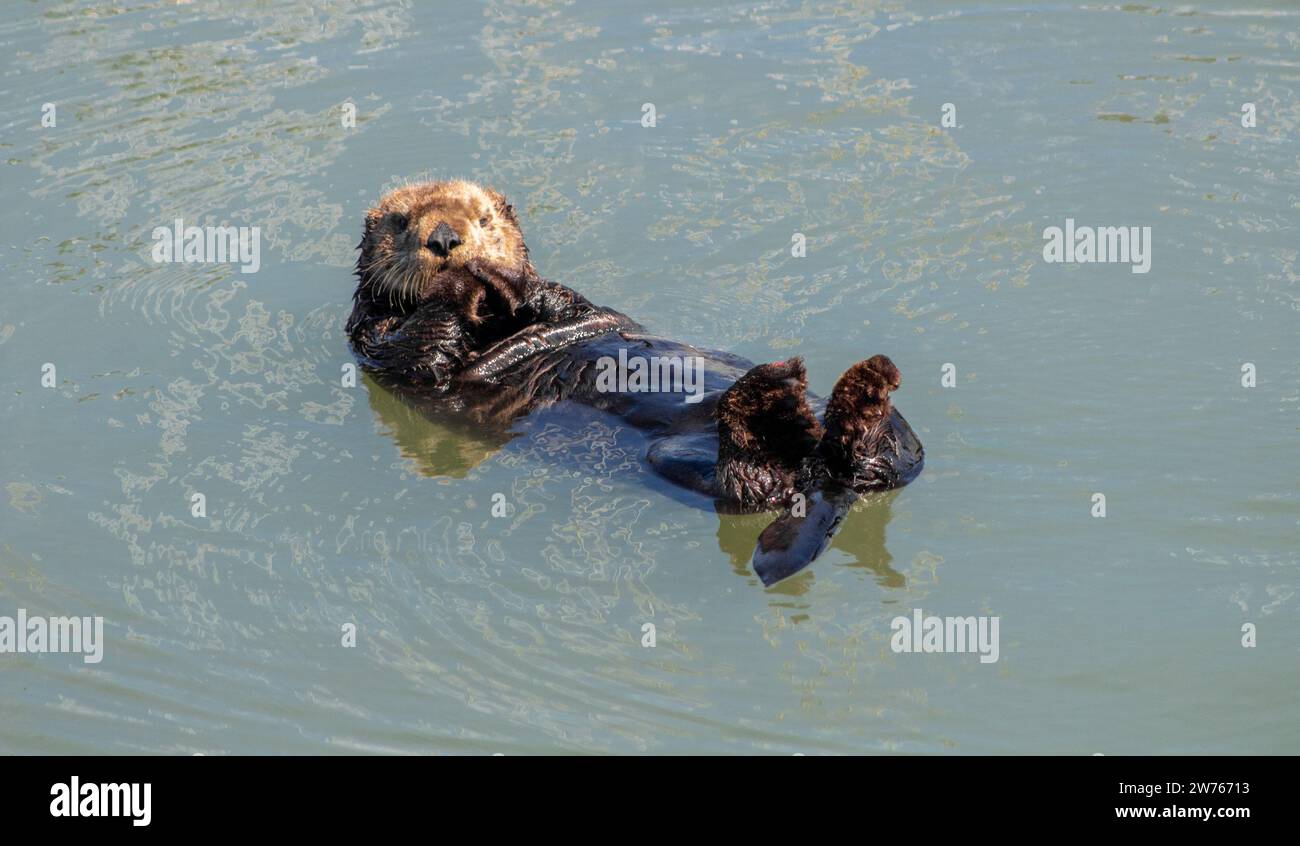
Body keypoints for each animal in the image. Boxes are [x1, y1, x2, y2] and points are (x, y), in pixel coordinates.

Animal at [347, 180, 923, 584]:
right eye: (401, 222)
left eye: (484, 219)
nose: (446, 239)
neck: (495, 322)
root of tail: (827, 477)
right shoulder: (378, 343)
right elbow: (424, 350)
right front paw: (459, 283)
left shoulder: (576, 307)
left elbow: (562, 301)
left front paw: (506, 277)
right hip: (685, 462)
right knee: (749, 484)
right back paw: (773, 400)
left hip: (896, 443)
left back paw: (862, 392)